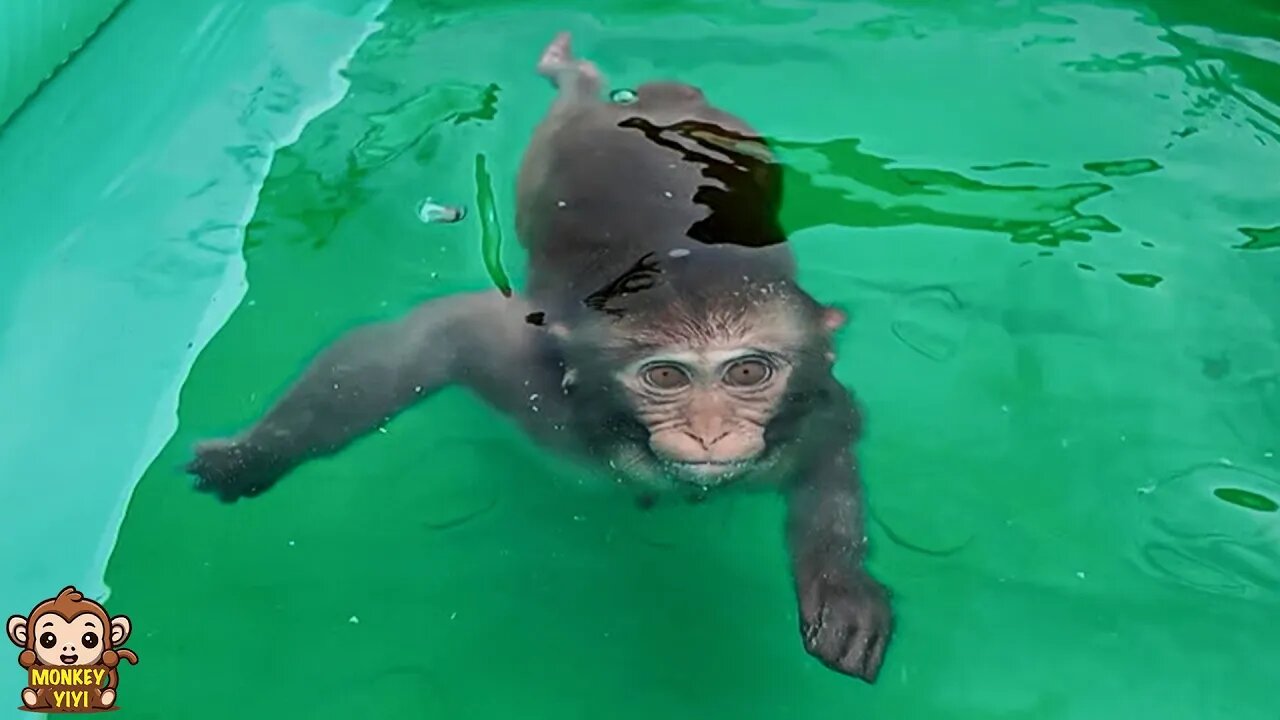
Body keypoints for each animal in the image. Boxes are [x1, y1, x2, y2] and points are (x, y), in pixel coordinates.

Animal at [186, 32, 893, 682]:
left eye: (747, 372)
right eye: (666, 376)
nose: (710, 431)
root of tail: (660, 101)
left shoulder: (807, 414)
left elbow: (833, 447)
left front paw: (840, 589)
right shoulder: (527, 380)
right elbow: (425, 343)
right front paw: (257, 452)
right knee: (573, 110)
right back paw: (574, 76)